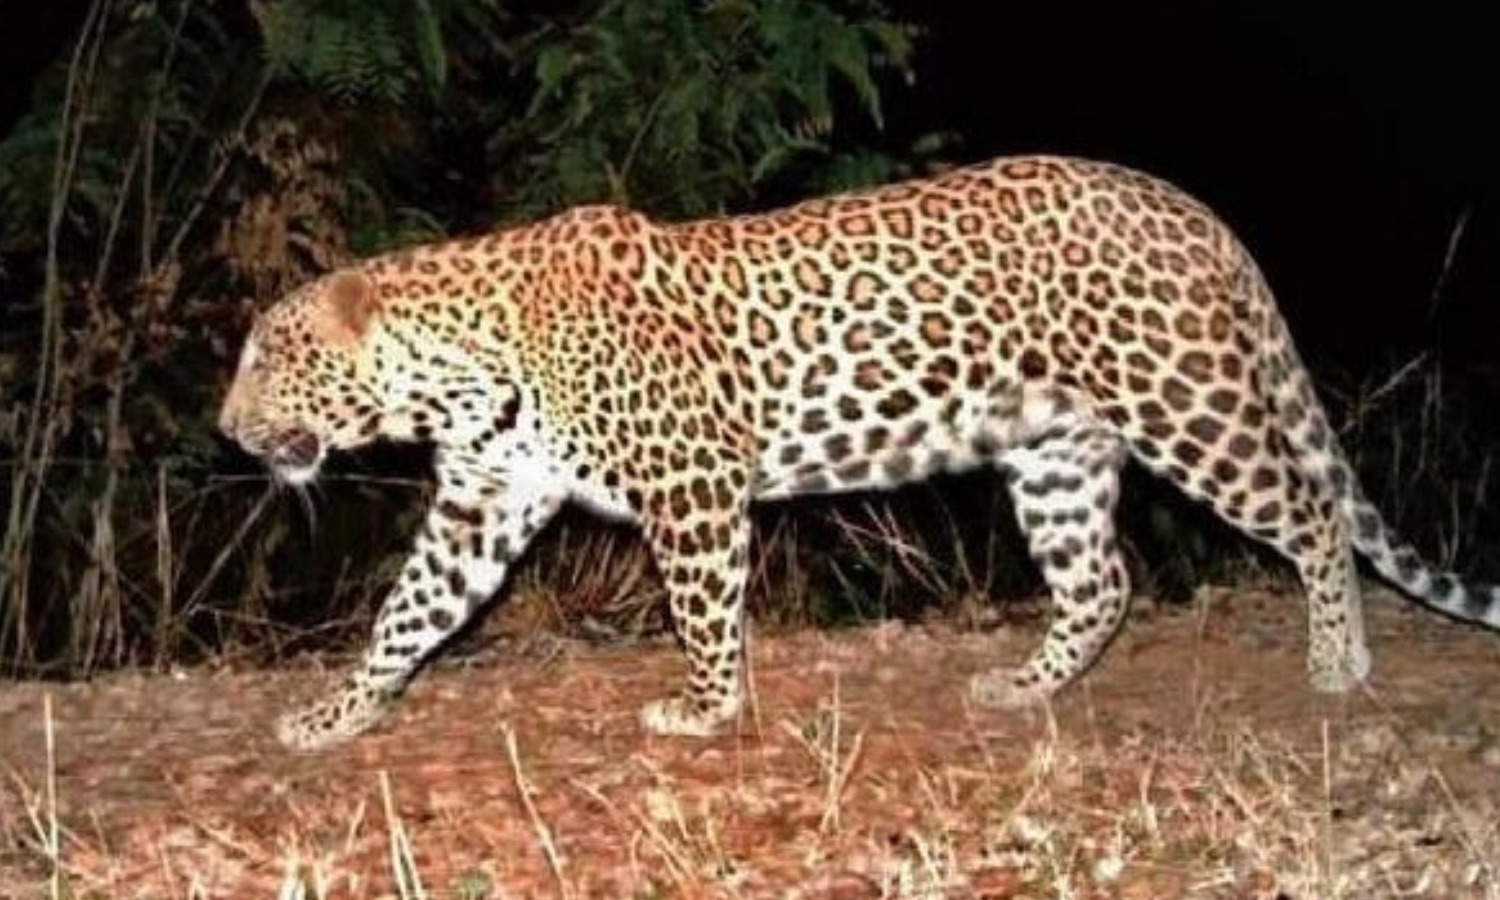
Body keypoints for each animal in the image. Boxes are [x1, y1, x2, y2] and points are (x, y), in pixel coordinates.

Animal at [218, 154, 1500, 750]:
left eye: (267, 358)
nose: (223, 430)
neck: (461, 369)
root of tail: (1189, 207)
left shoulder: (692, 484)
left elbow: (703, 609)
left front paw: (707, 711)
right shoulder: (486, 500)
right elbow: (409, 612)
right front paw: (338, 715)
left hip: (1185, 402)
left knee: (1312, 517)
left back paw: (1338, 661)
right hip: (1055, 451)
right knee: (1103, 580)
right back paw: (1024, 687)